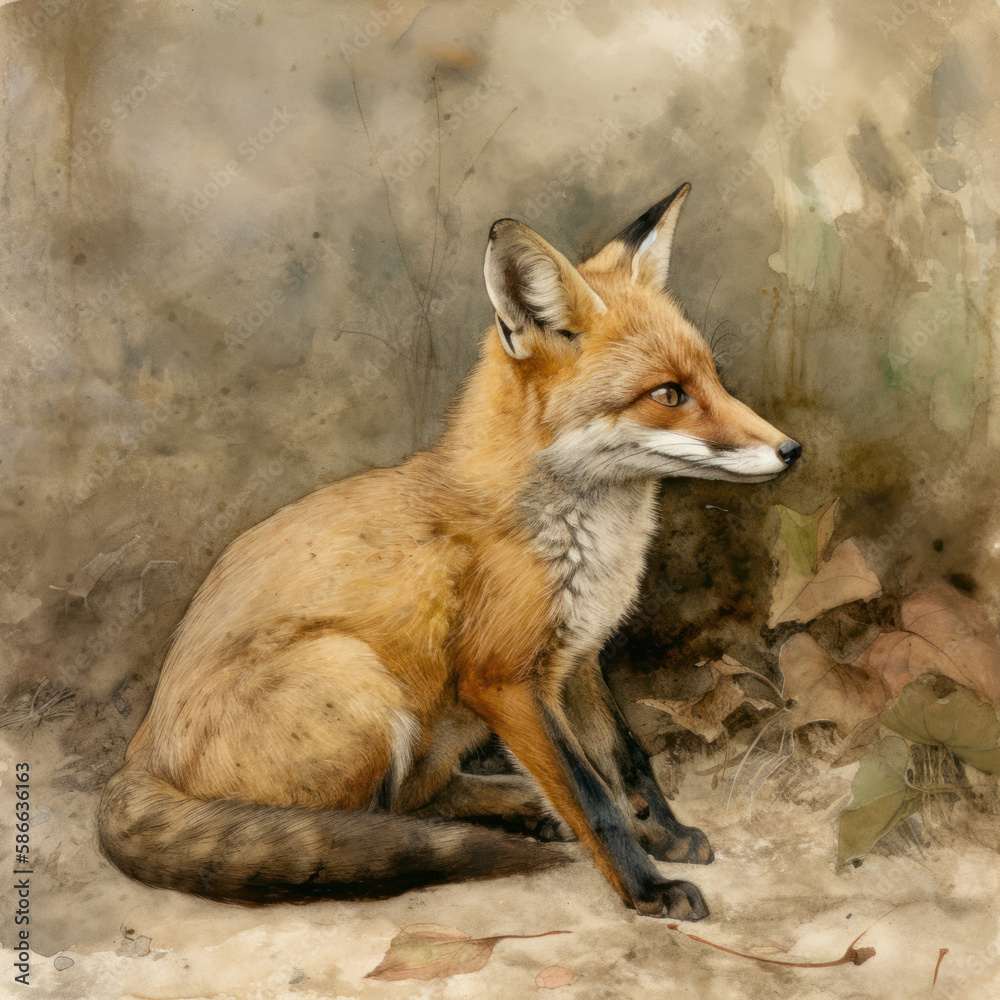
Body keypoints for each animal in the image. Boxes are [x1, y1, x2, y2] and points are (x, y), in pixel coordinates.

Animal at [98, 183, 801, 921]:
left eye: (714, 380)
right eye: (668, 394)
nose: (792, 450)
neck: (584, 541)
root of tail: (139, 751)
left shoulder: (577, 658)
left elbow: (628, 760)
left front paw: (663, 834)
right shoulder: (504, 679)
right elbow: (592, 796)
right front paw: (647, 888)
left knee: (420, 796)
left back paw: (521, 811)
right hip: (358, 679)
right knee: (361, 823)